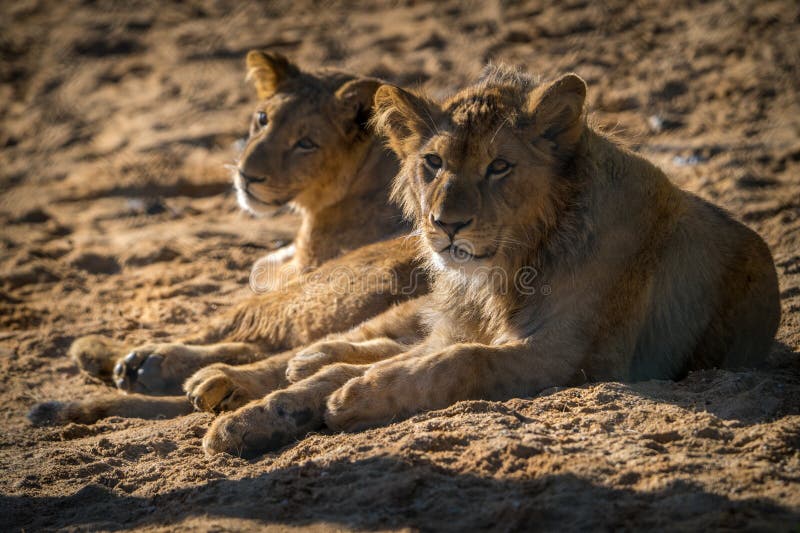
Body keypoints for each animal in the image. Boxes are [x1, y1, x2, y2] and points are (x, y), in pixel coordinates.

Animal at [27, 52, 429, 425]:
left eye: (306, 143)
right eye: (262, 119)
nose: (246, 176)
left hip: (327, 282)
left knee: (233, 328)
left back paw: (129, 359)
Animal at [198, 65, 780, 457]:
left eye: (499, 167)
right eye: (433, 163)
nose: (446, 223)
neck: (502, 272)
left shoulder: (571, 358)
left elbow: (460, 362)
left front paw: (355, 395)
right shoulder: (466, 325)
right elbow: (338, 378)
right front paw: (248, 421)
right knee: (348, 339)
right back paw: (234, 378)